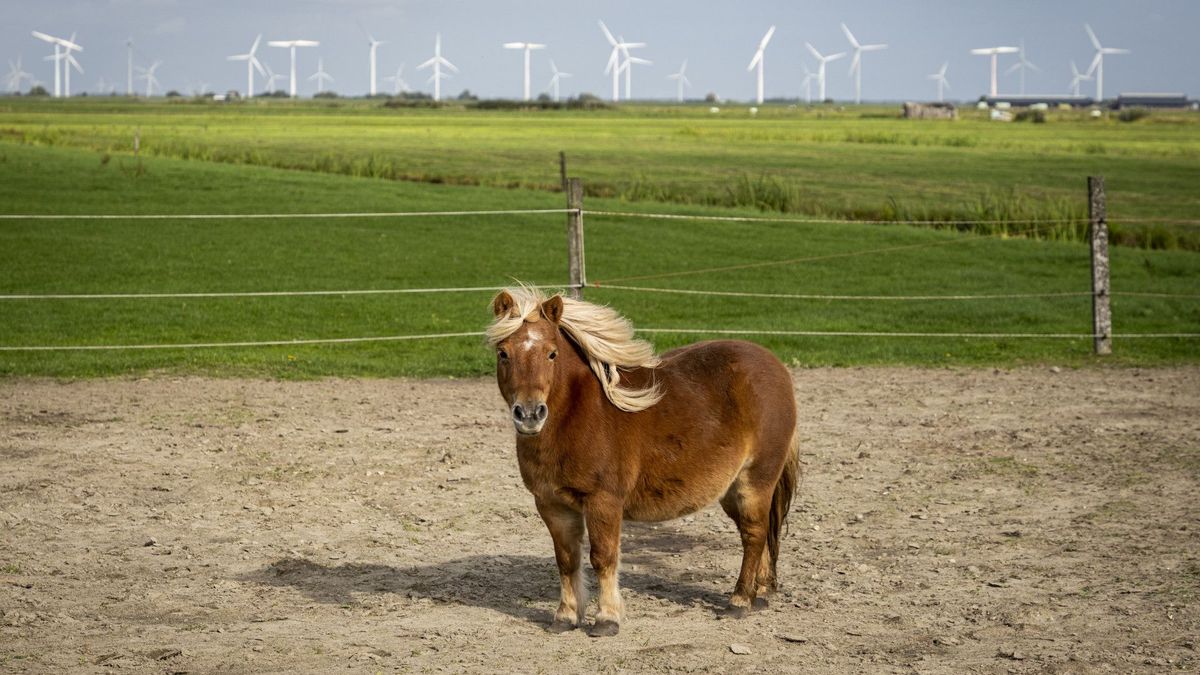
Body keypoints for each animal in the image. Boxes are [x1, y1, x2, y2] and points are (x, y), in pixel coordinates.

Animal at [487, 285, 799, 637]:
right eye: (503, 353)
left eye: (551, 353)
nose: (529, 414)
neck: (576, 416)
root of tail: (774, 366)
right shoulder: (552, 505)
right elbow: (567, 561)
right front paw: (565, 617)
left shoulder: (604, 501)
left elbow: (603, 557)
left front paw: (607, 619)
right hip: (729, 490)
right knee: (760, 534)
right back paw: (760, 594)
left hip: (756, 479)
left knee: (754, 534)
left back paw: (740, 601)